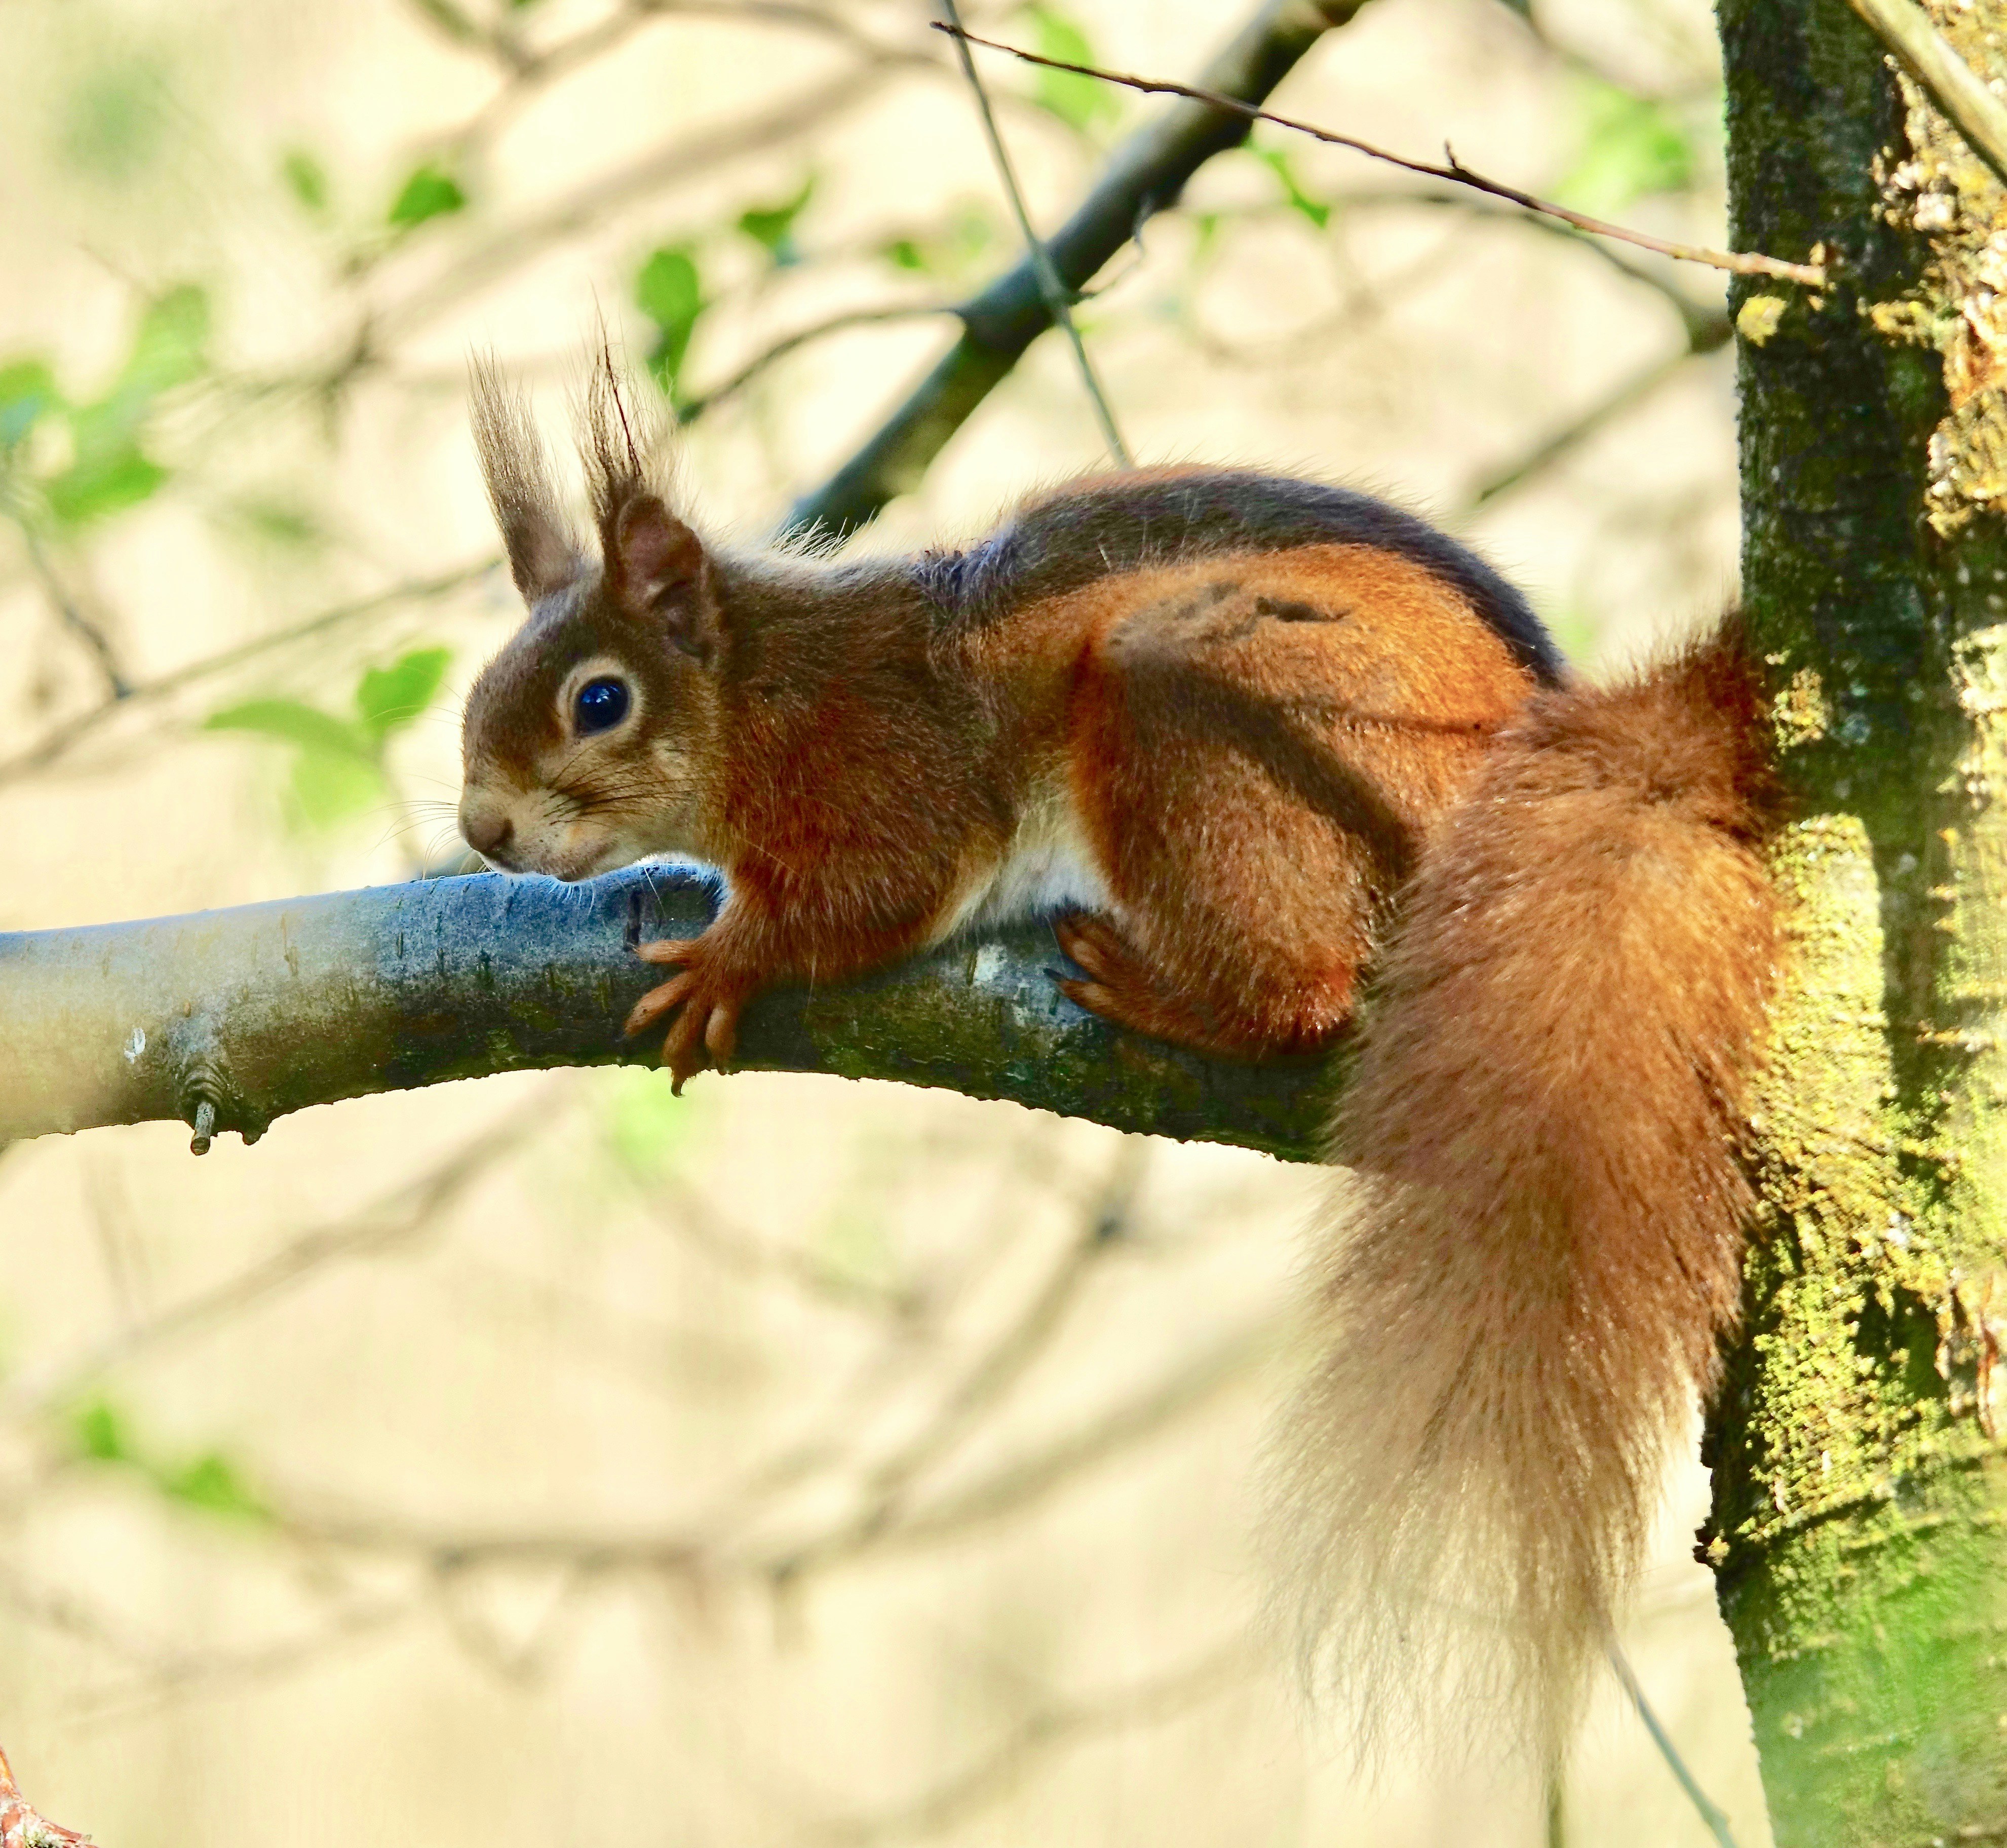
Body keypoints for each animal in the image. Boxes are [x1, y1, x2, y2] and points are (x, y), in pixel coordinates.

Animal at [457, 359, 1782, 1761]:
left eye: (601, 700)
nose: (483, 832)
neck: (762, 688)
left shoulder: (888, 773)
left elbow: (876, 896)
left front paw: (728, 960)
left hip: (1204, 707)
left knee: (1304, 995)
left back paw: (1166, 991)